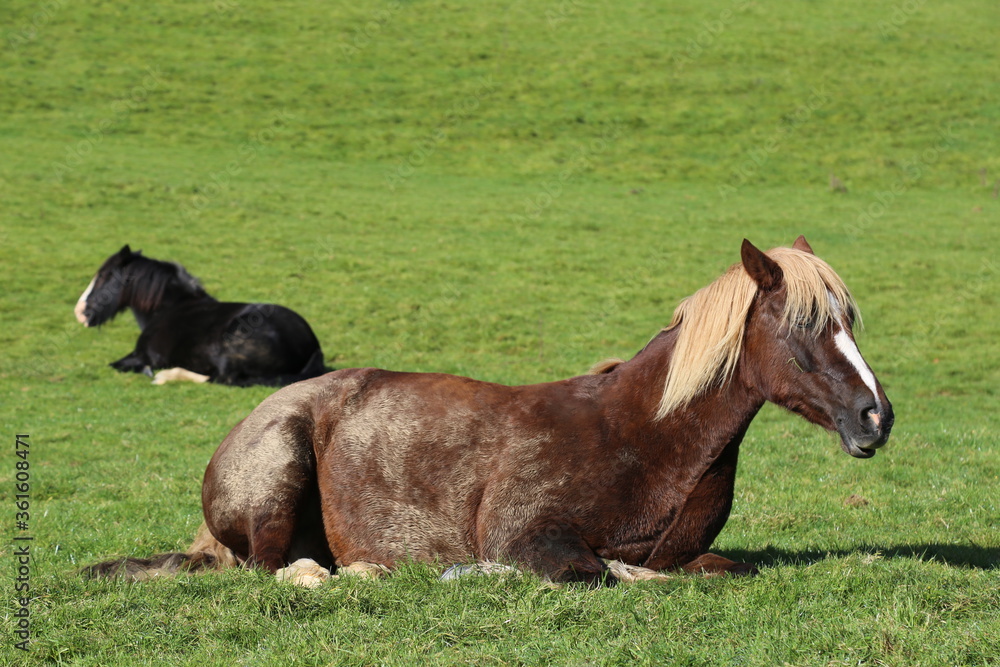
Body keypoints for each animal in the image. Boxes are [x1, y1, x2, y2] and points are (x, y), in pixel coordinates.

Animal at [74, 245, 326, 387]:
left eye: (105, 276)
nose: (80, 313)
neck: (168, 308)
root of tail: (312, 344)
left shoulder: (143, 356)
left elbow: (119, 364)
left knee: (222, 379)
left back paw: (167, 376)